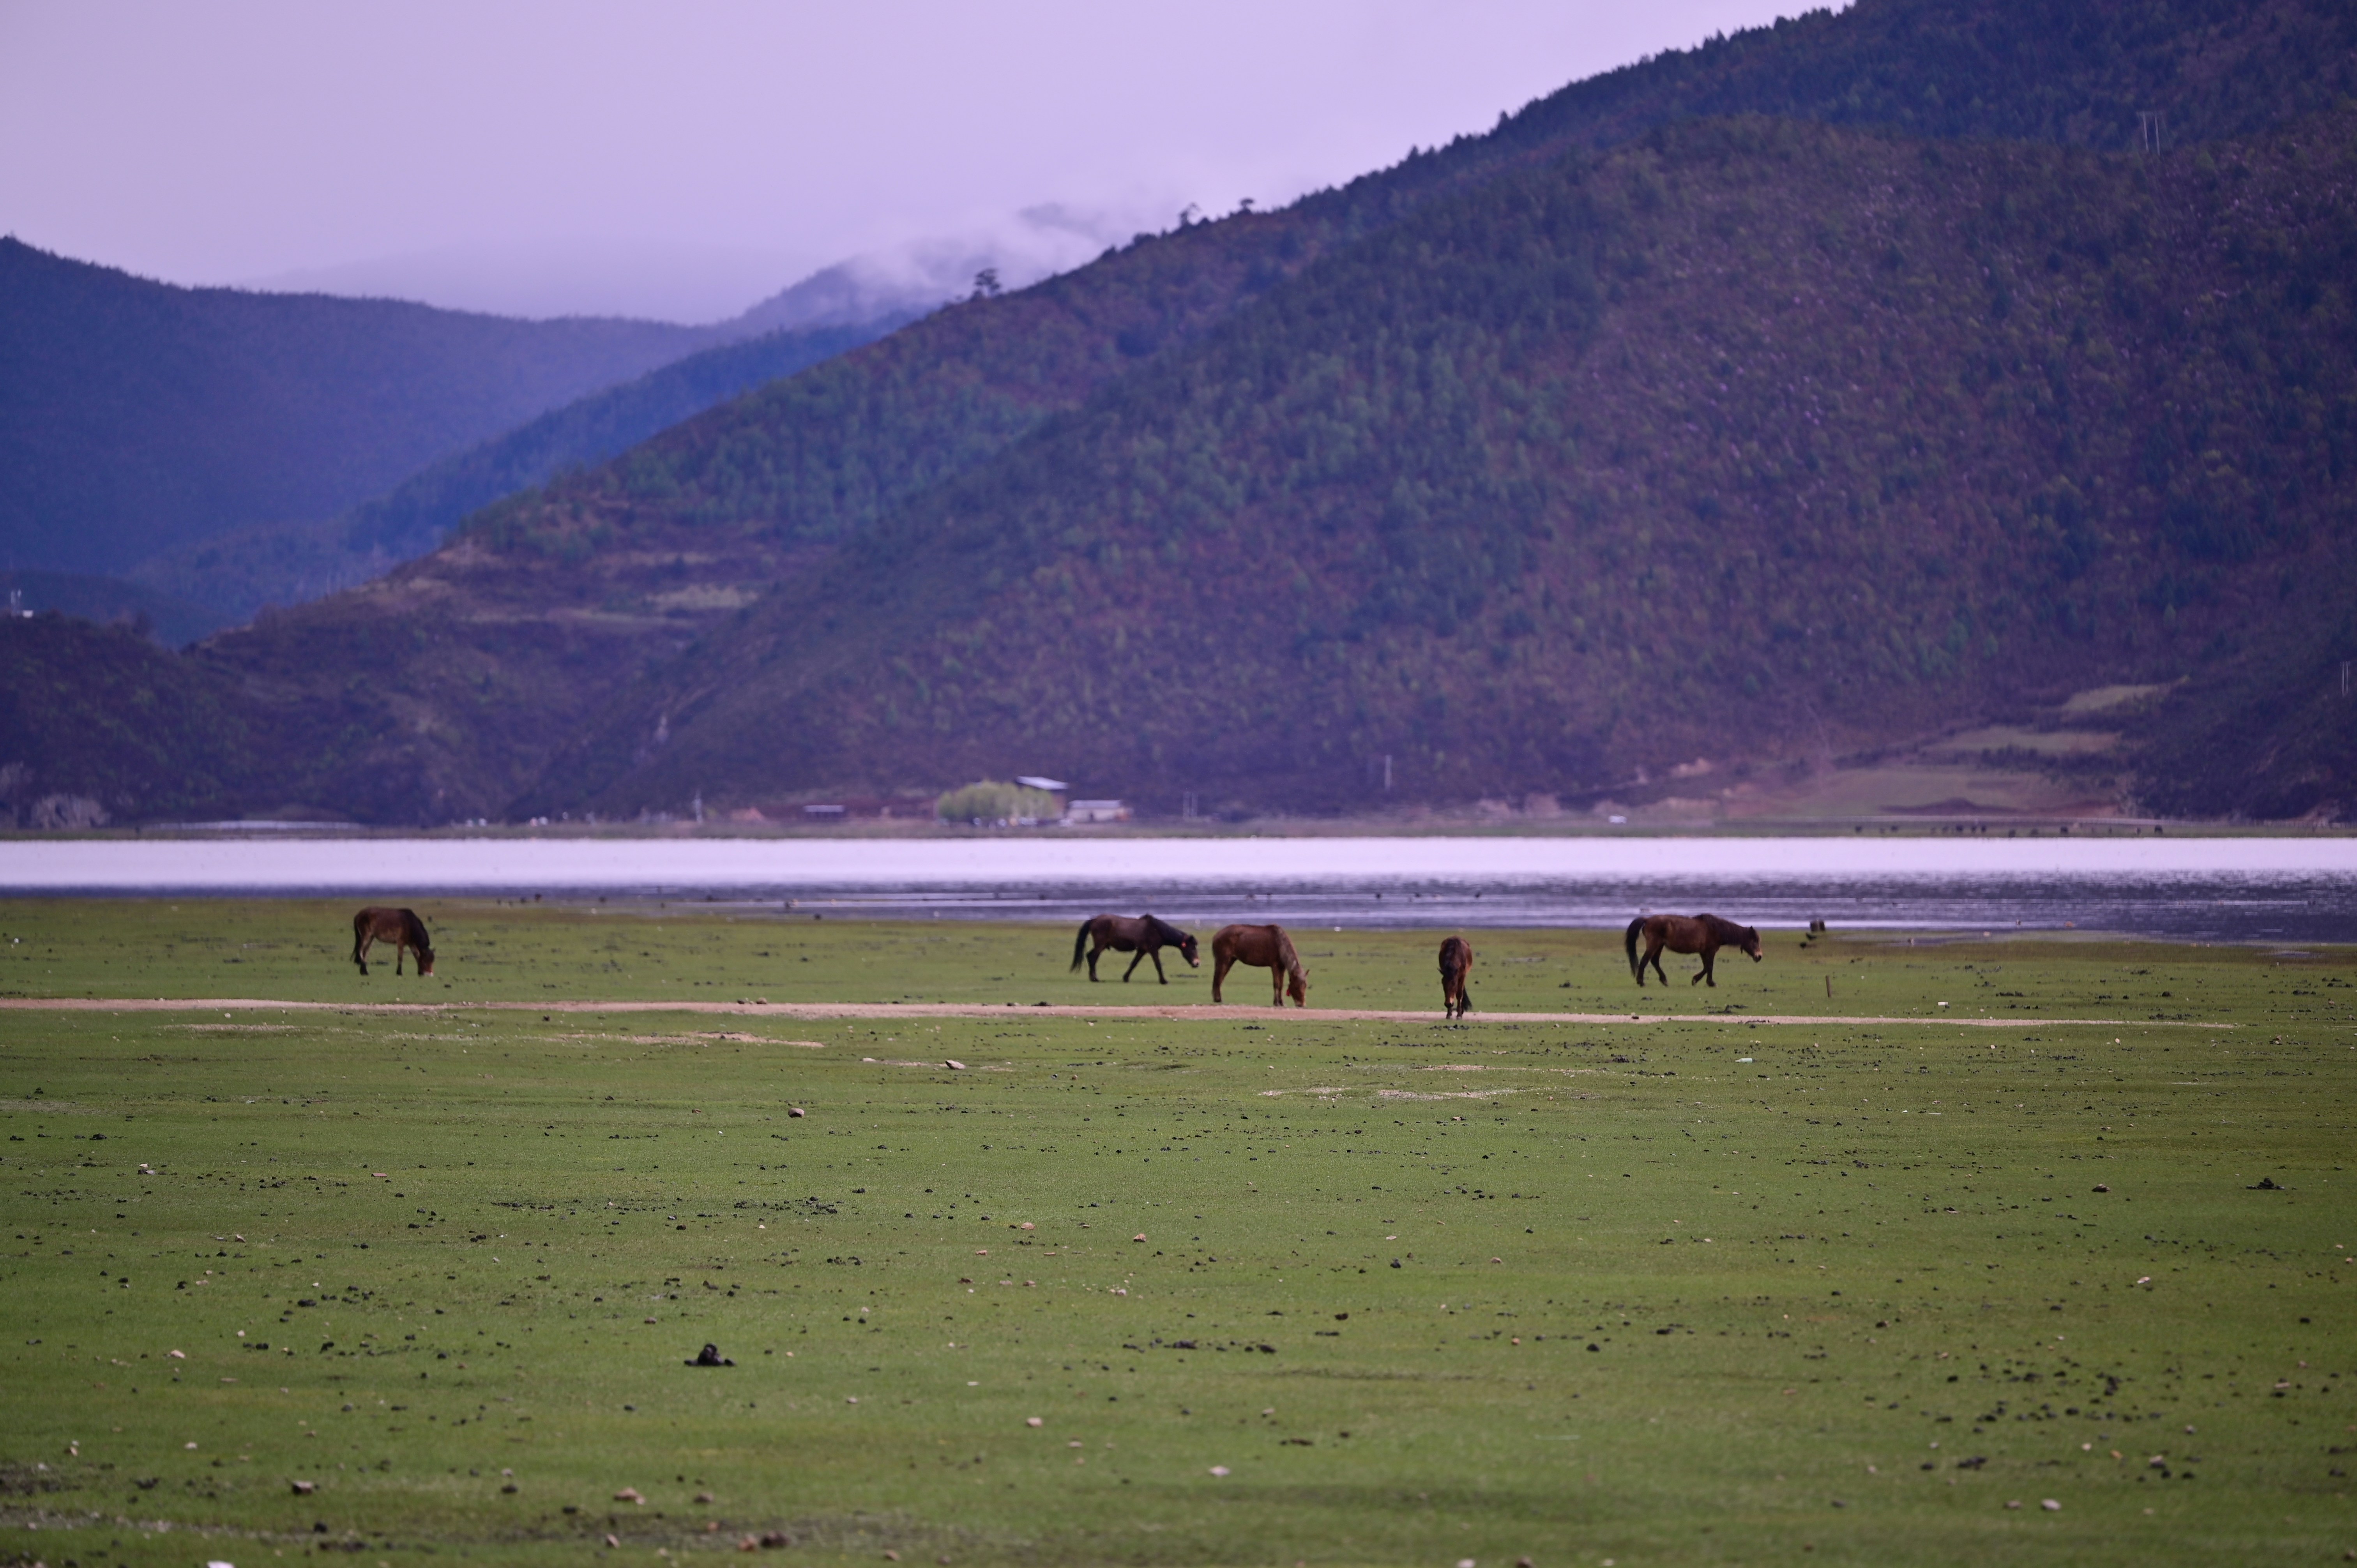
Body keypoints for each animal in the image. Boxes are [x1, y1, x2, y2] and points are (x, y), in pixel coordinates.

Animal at [352, 907, 435, 977]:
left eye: (432, 961)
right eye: (425, 961)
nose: (430, 974)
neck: (409, 923)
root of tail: (358, 915)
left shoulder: (411, 944)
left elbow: (417, 955)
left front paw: (420, 972)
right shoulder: (401, 943)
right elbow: (400, 958)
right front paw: (399, 973)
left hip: (371, 938)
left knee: (365, 953)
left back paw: (364, 972)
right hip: (366, 937)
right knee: (361, 951)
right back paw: (364, 972)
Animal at [1071, 913, 1200, 984]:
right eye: (1192, 948)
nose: (1197, 963)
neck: (1157, 930)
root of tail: (1094, 920)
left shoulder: (1142, 950)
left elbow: (1134, 964)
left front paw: (1126, 978)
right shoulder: (1153, 949)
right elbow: (1158, 965)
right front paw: (1164, 981)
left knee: (1090, 956)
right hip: (1100, 945)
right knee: (1093, 957)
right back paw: (1095, 978)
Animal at [1211, 923, 1308, 1007]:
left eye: (1306, 986)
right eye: (1296, 987)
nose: (1302, 1004)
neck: (1280, 943)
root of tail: (1216, 936)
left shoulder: (1282, 967)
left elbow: (1281, 985)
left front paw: (1282, 1003)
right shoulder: (1275, 966)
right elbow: (1277, 984)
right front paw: (1277, 1003)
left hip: (1230, 961)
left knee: (1219, 978)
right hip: (1223, 961)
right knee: (1218, 978)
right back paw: (1218, 999)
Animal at [1438, 936, 1475, 1018]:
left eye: (1454, 983)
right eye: (1443, 983)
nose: (1448, 1004)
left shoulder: (1462, 976)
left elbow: (1459, 994)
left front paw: (1459, 1015)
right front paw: (1449, 1015)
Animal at [1625, 913, 1760, 988]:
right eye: (1754, 941)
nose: (1759, 956)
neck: (1716, 929)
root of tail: (1647, 920)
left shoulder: (1703, 952)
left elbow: (1706, 967)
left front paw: (1695, 980)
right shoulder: (1711, 951)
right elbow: (1710, 967)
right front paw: (1711, 983)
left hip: (1660, 946)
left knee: (1654, 961)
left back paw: (1664, 980)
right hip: (1654, 945)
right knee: (1645, 961)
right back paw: (1641, 982)